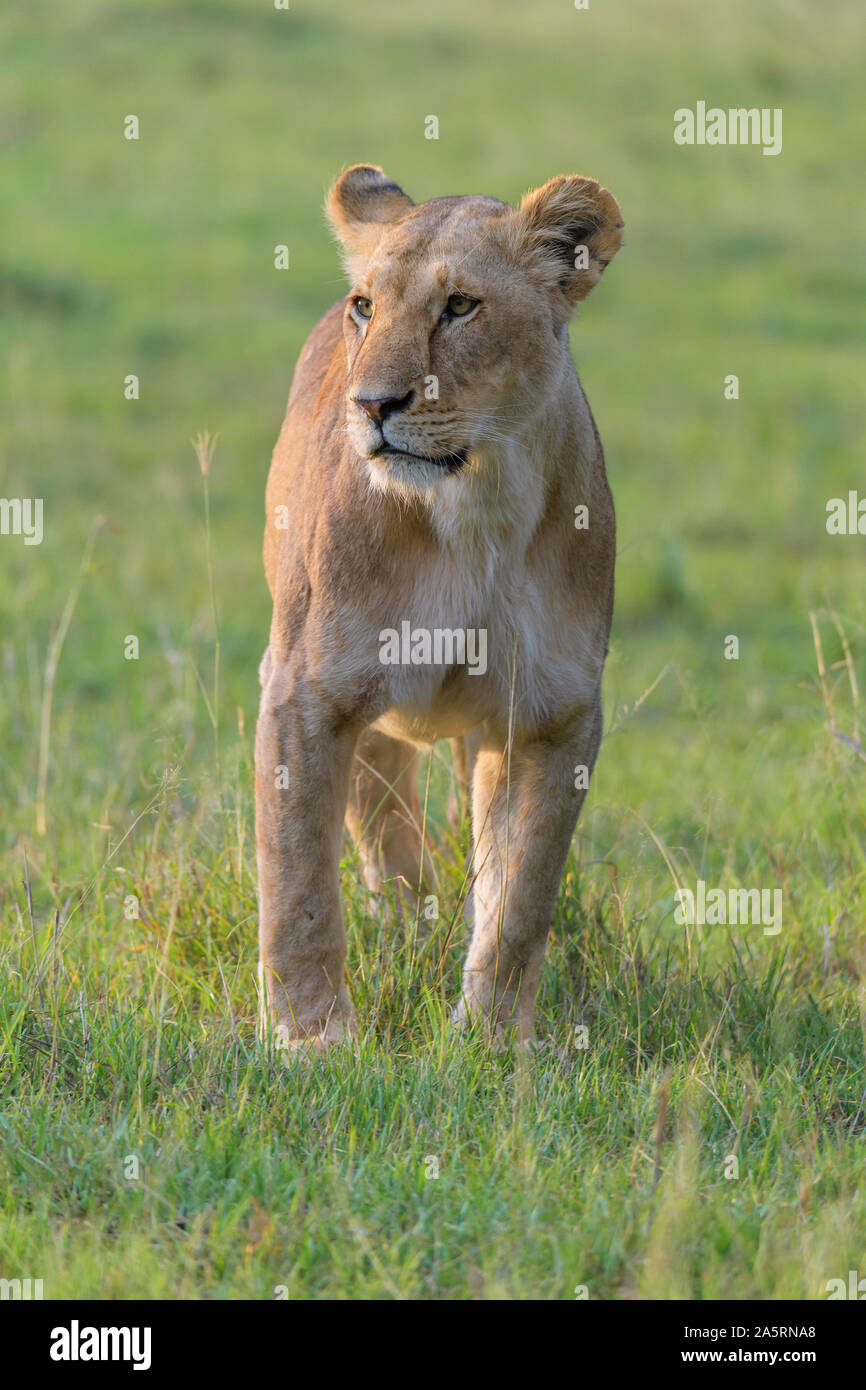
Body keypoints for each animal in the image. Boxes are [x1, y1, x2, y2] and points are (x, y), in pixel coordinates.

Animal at [256, 164, 623, 1051]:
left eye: (460, 307)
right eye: (365, 305)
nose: (371, 405)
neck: (476, 507)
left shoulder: (555, 715)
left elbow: (520, 899)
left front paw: (493, 1044)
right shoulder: (305, 689)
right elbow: (299, 886)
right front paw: (313, 1043)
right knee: (382, 809)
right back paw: (407, 925)